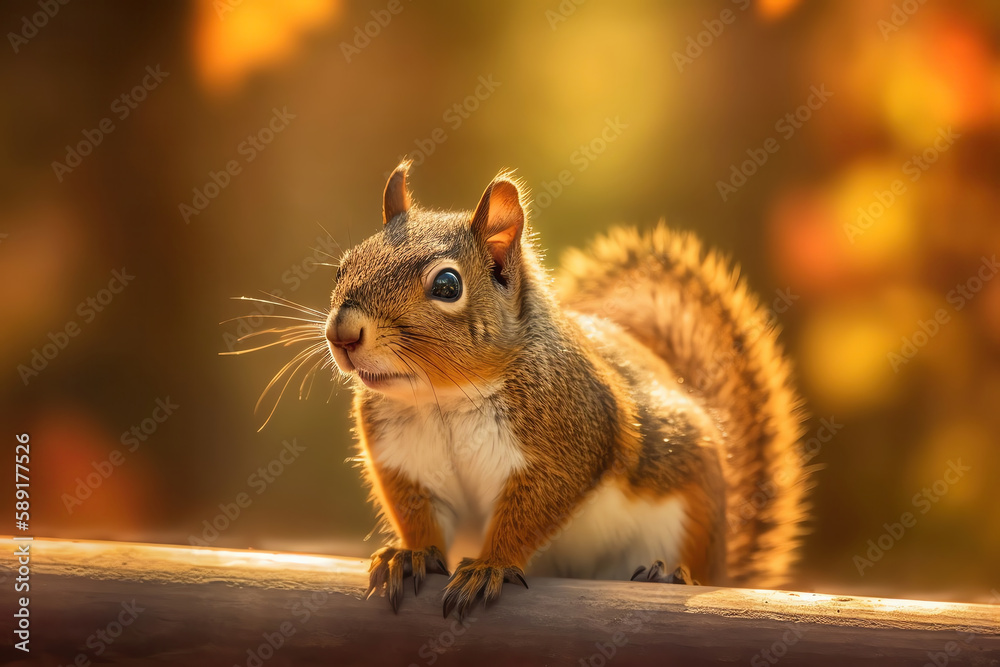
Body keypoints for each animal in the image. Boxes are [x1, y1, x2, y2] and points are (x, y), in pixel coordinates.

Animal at [319, 161, 810, 619]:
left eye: (447, 285)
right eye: (343, 267)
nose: (343, 333)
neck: (445, 400)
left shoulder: (569, 446)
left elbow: (528, 513)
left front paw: (489, 566)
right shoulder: (403, 462)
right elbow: (416, 514)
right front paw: (412, 555)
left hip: (687, 519)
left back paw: (670, 576)